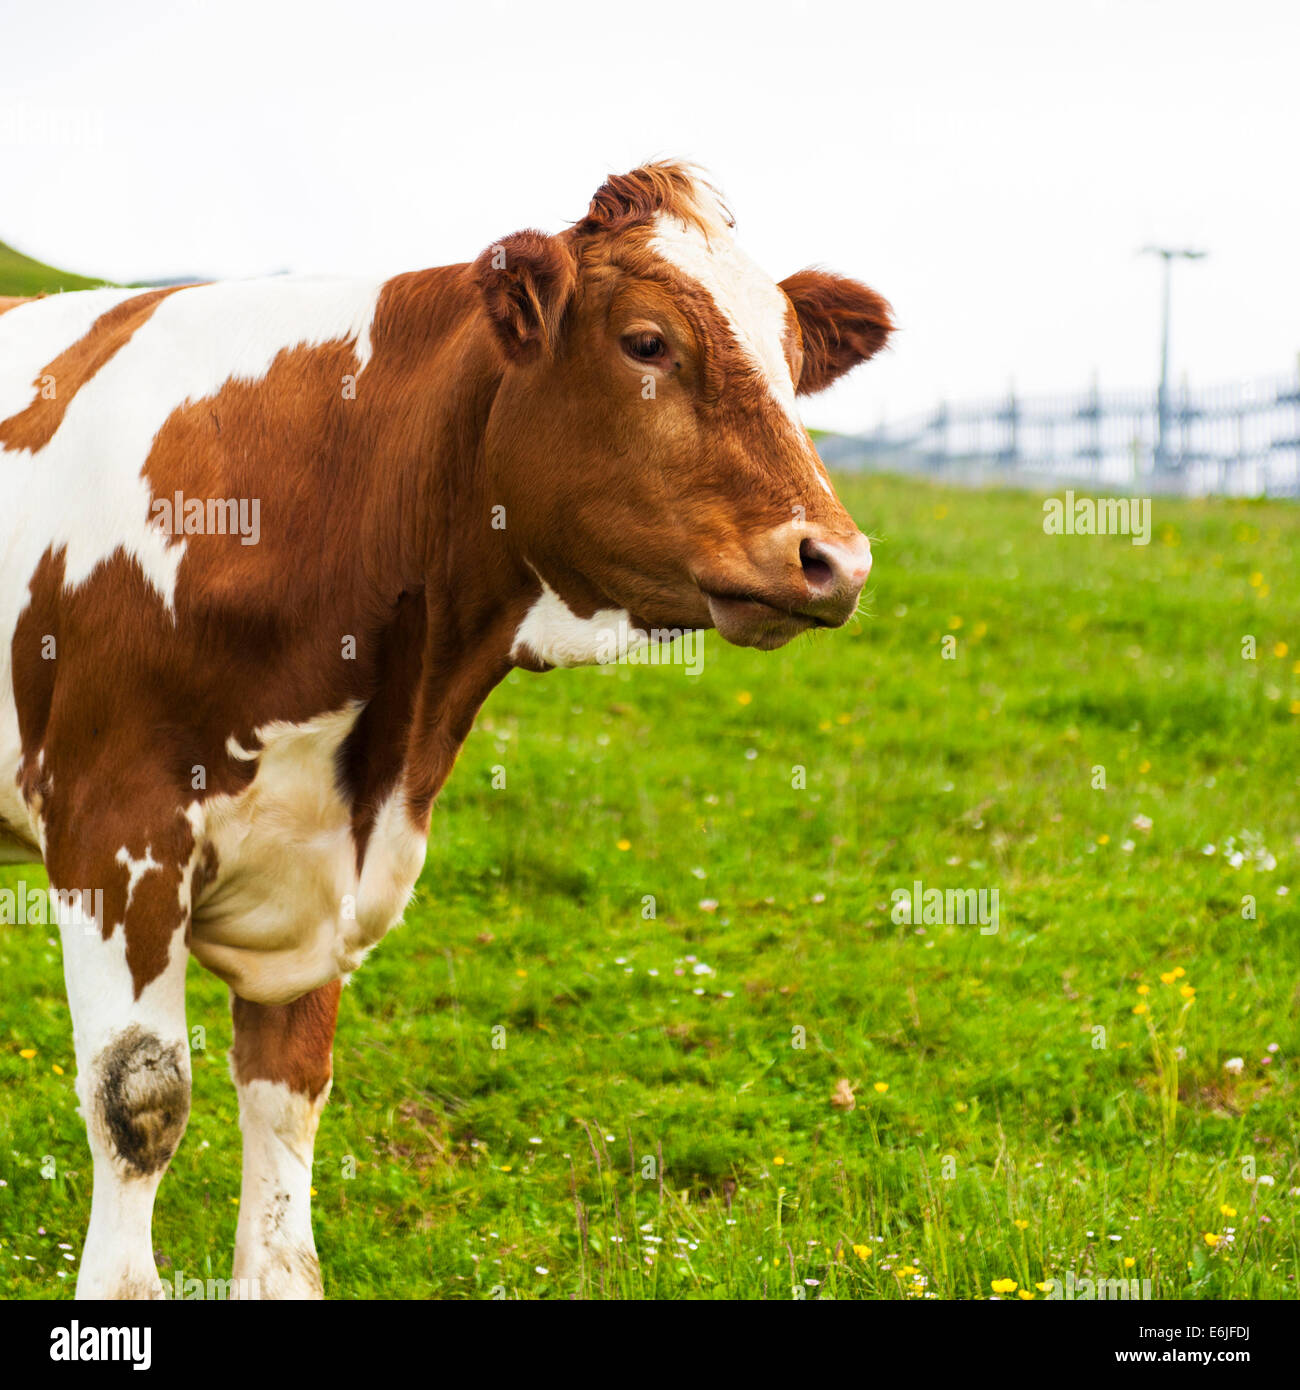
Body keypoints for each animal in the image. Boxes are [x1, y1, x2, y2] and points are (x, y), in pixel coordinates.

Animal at [0, 162, 892, 1298]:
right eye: (646, 342)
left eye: (792, 359)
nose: (836, 559)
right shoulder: (114, 833)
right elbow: (140, 1101)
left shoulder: (322, 870)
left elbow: (289, 1114)